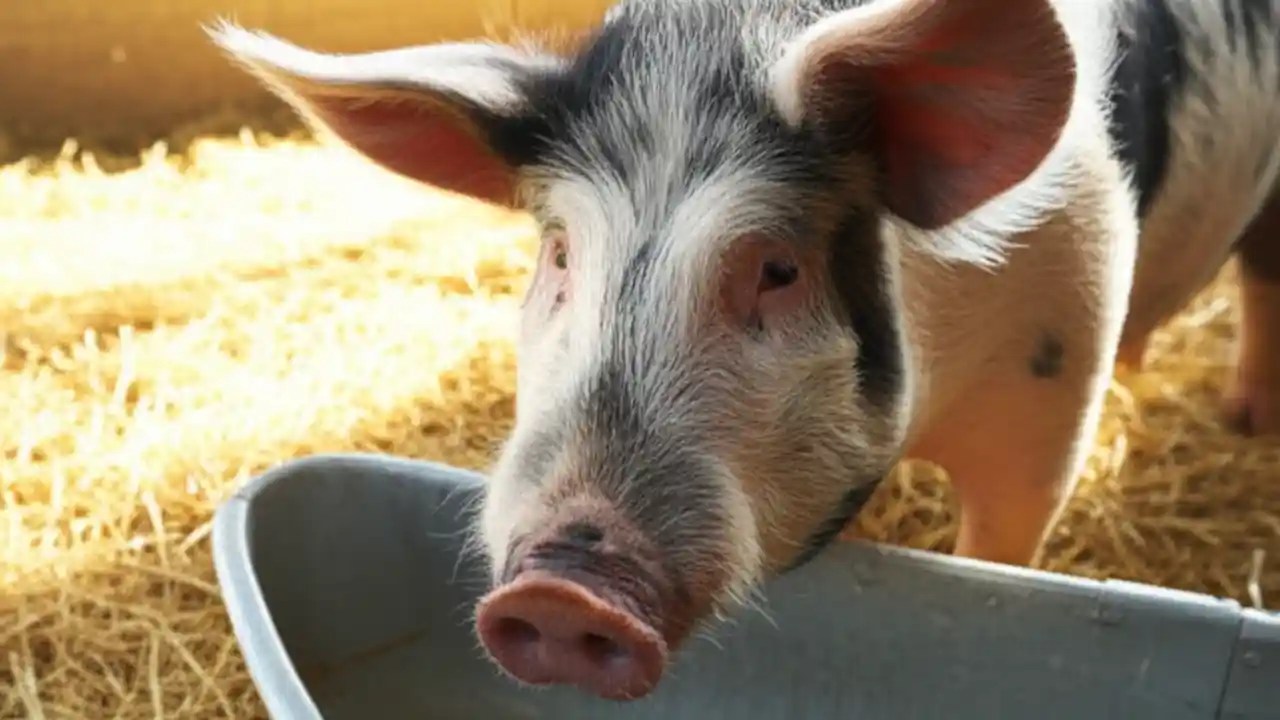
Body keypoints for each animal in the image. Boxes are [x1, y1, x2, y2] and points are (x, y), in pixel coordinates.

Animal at [209, 0, 1280, 702]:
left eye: (777, 268)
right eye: (559, 252)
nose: (562, 588)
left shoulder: (1050, 386)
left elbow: (1003, 544)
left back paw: (1245, 420)